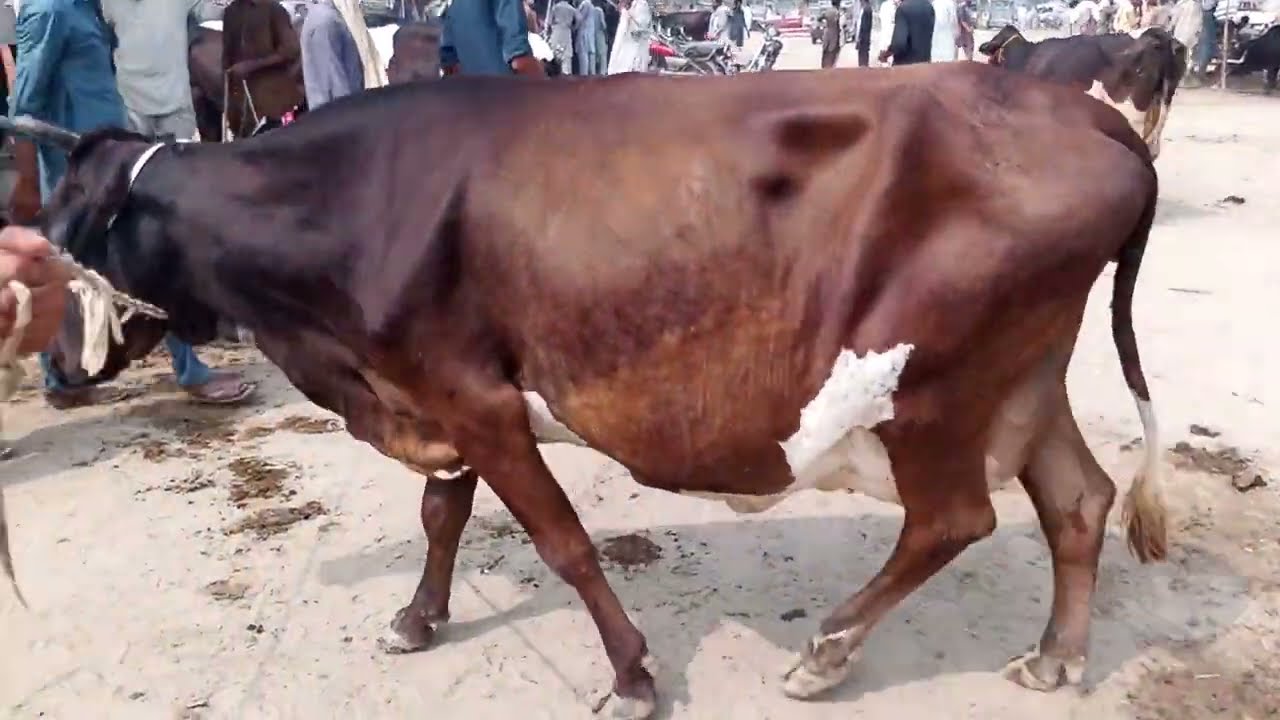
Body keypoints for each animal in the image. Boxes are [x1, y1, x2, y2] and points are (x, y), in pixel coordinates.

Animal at [14, 62, 1166, 718]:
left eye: (74, 225)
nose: (57, 359)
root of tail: (1088, 114)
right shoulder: (434, 392)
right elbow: (440, 514)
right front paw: (417, 618)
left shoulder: (476, 397)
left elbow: (562, 543)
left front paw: (632, 677)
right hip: (1027, 372)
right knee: (1077, 500)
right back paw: (1055, 660)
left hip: (931, 390)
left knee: (955, 518)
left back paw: (827, 652)